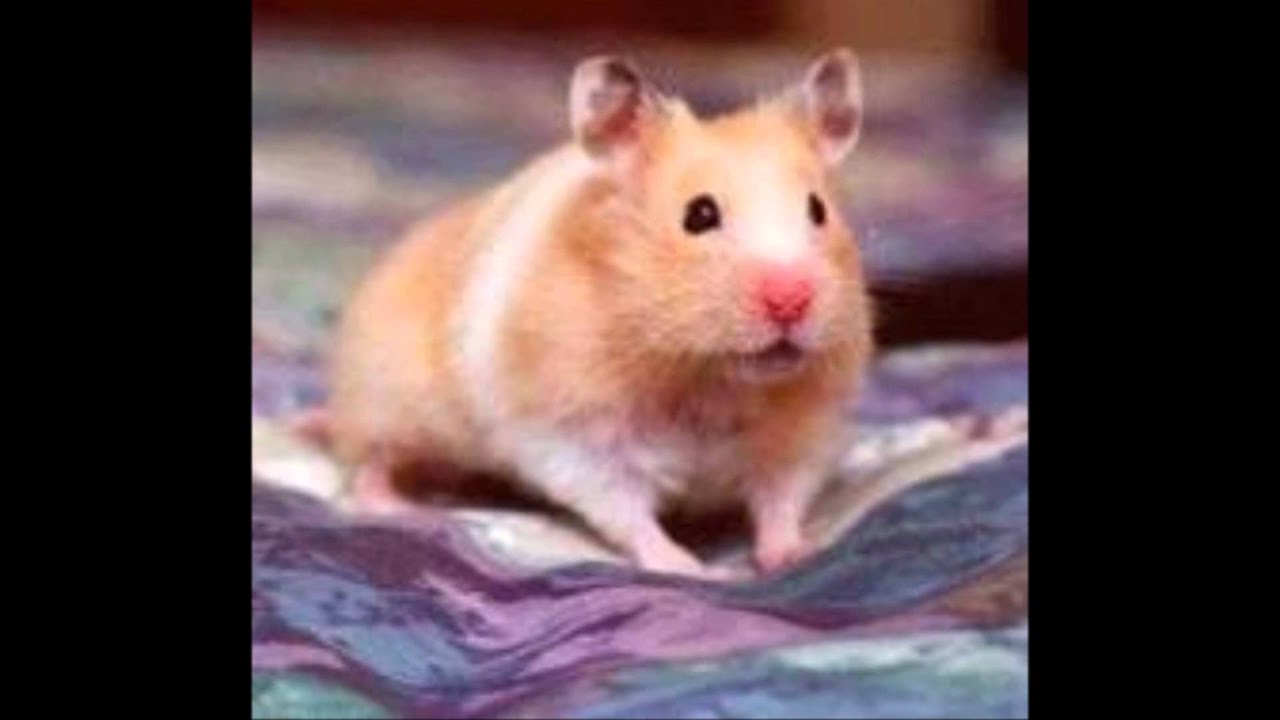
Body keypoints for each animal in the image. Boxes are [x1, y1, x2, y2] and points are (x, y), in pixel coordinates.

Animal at [322, 49, 874, 579]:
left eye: (818, 210)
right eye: (699, 215)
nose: (792, 299)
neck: (704, 375)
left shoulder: (801, 432)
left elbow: (780, 500)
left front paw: (796, 555)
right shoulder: (575, 437)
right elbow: (627, 513)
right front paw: (697, 571)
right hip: (385, 403)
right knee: (369, 464)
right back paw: (402, 509)